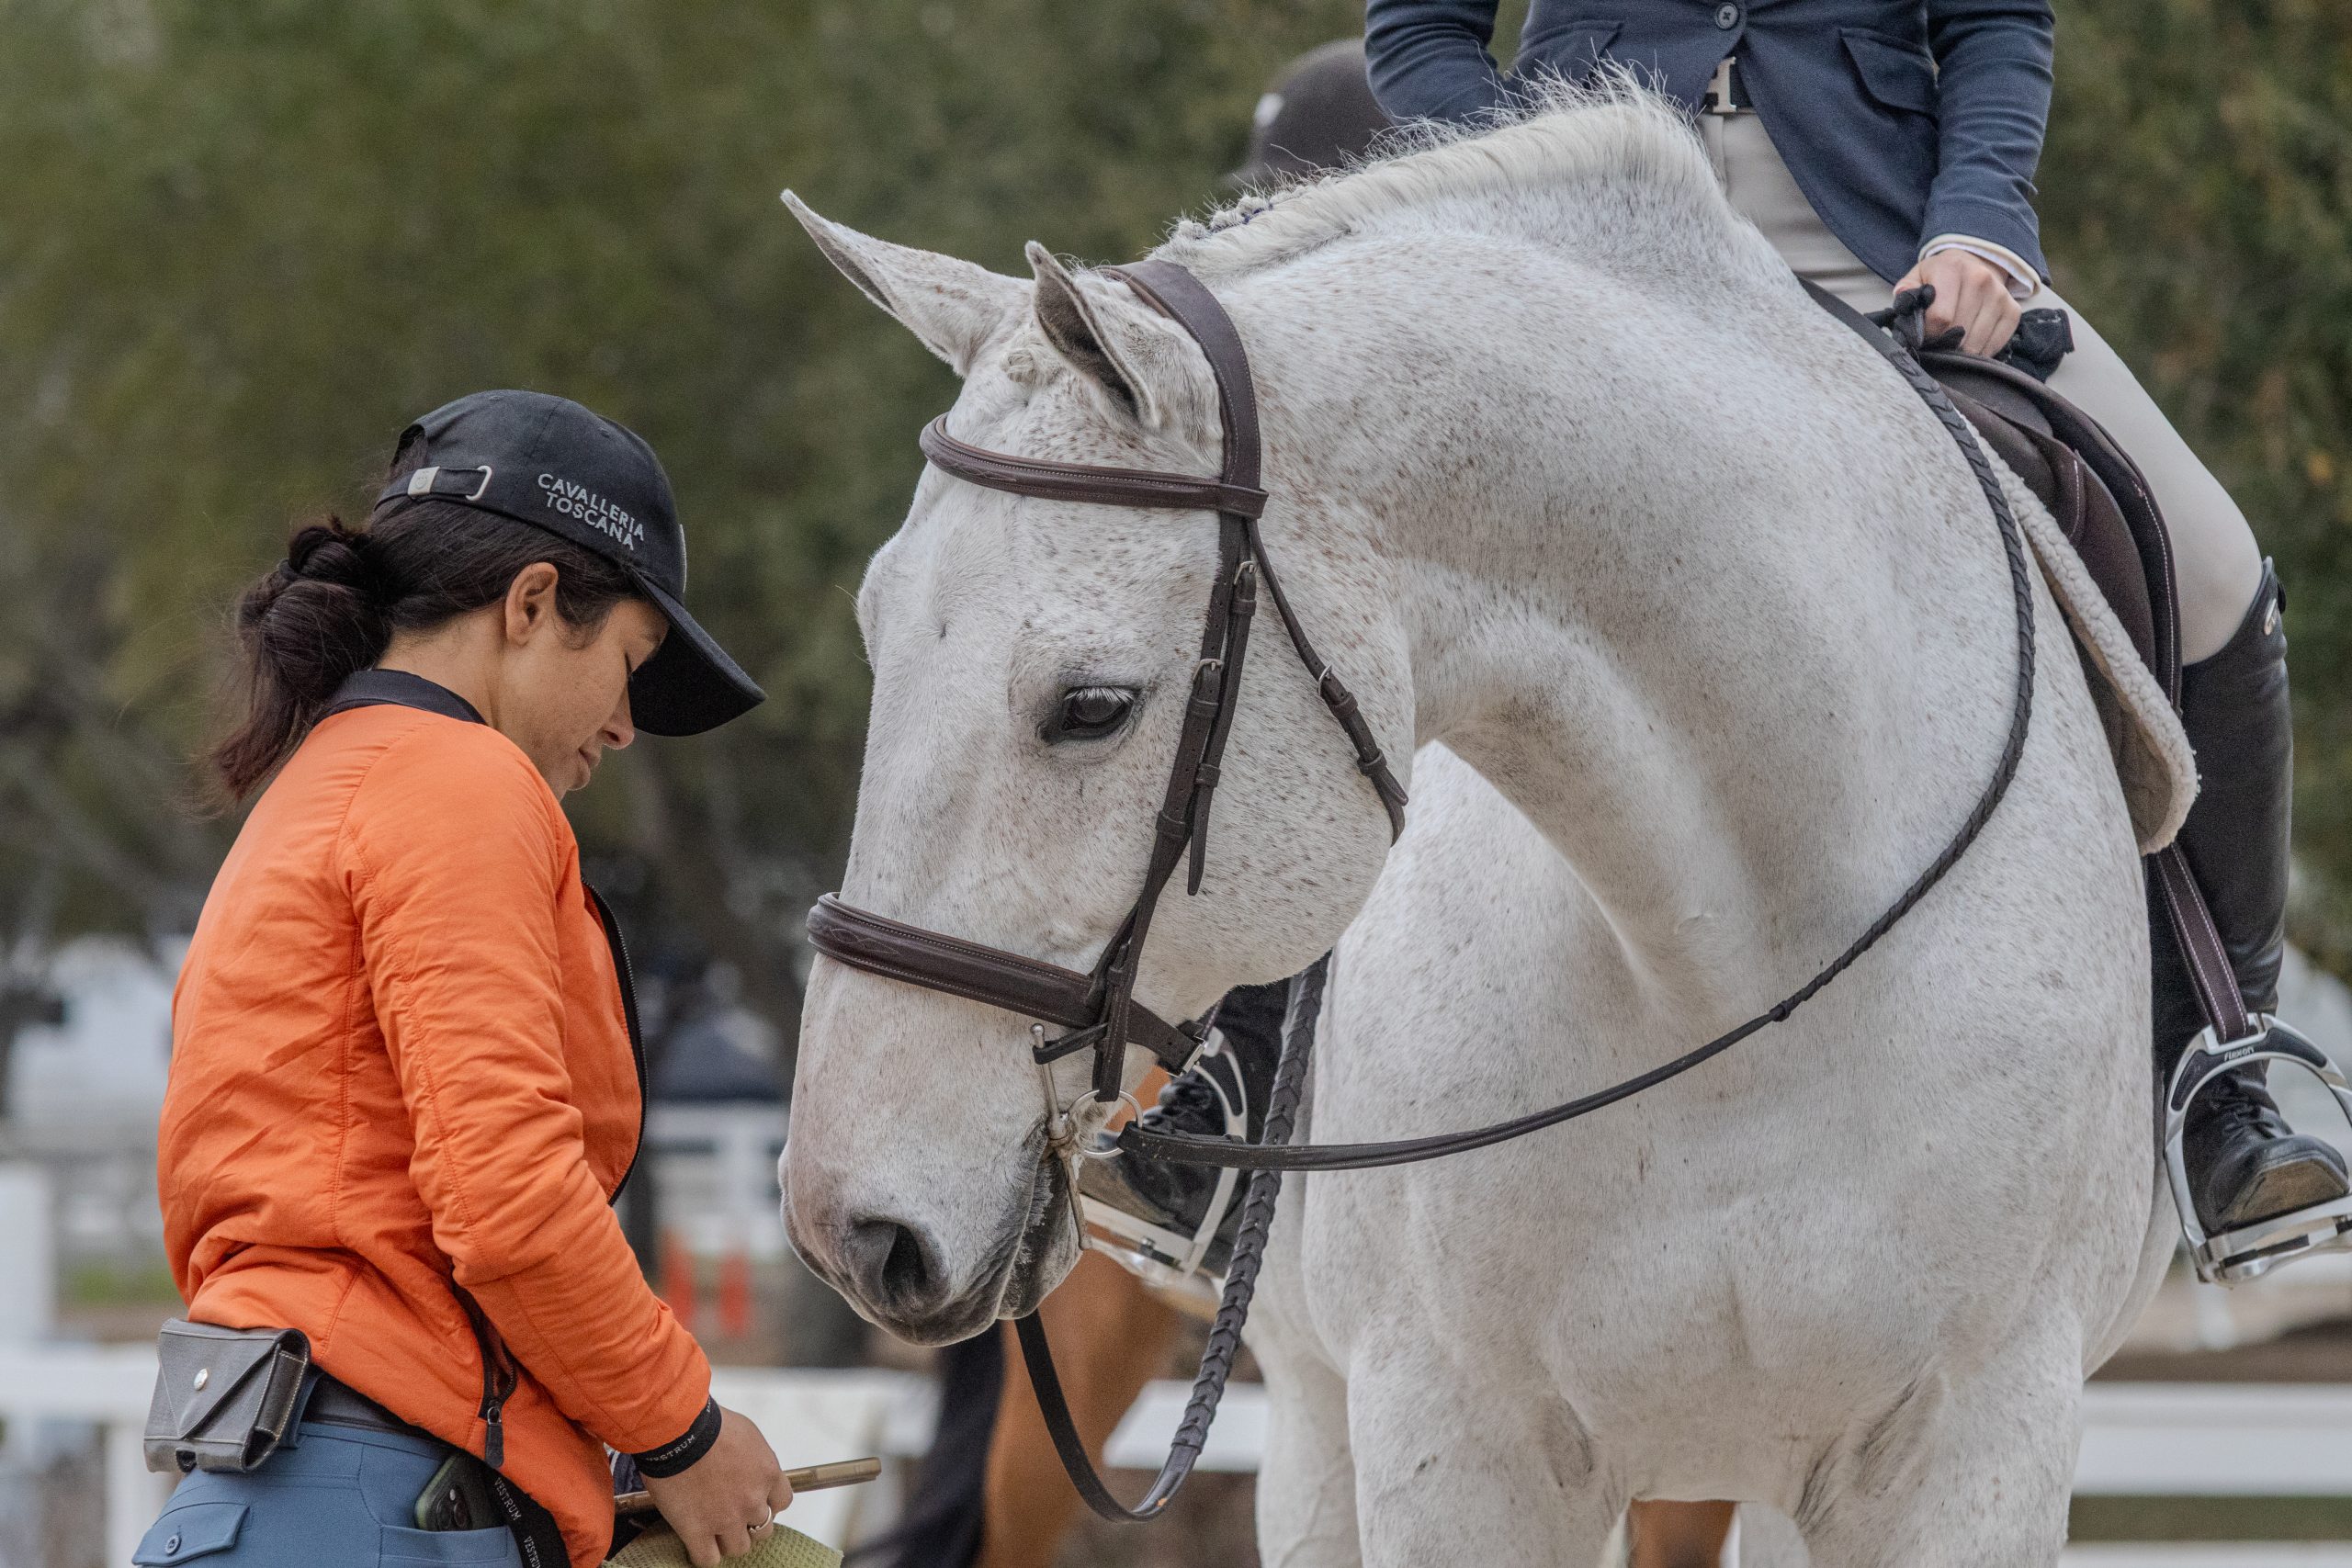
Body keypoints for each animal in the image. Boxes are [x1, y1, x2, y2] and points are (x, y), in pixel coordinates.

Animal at [781, 85, 2177, 1565]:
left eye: (1092, 707)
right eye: (874, 630)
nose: (848, 1223)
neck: (1736, 960)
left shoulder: (1973, 1441)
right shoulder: (1456, 1438)